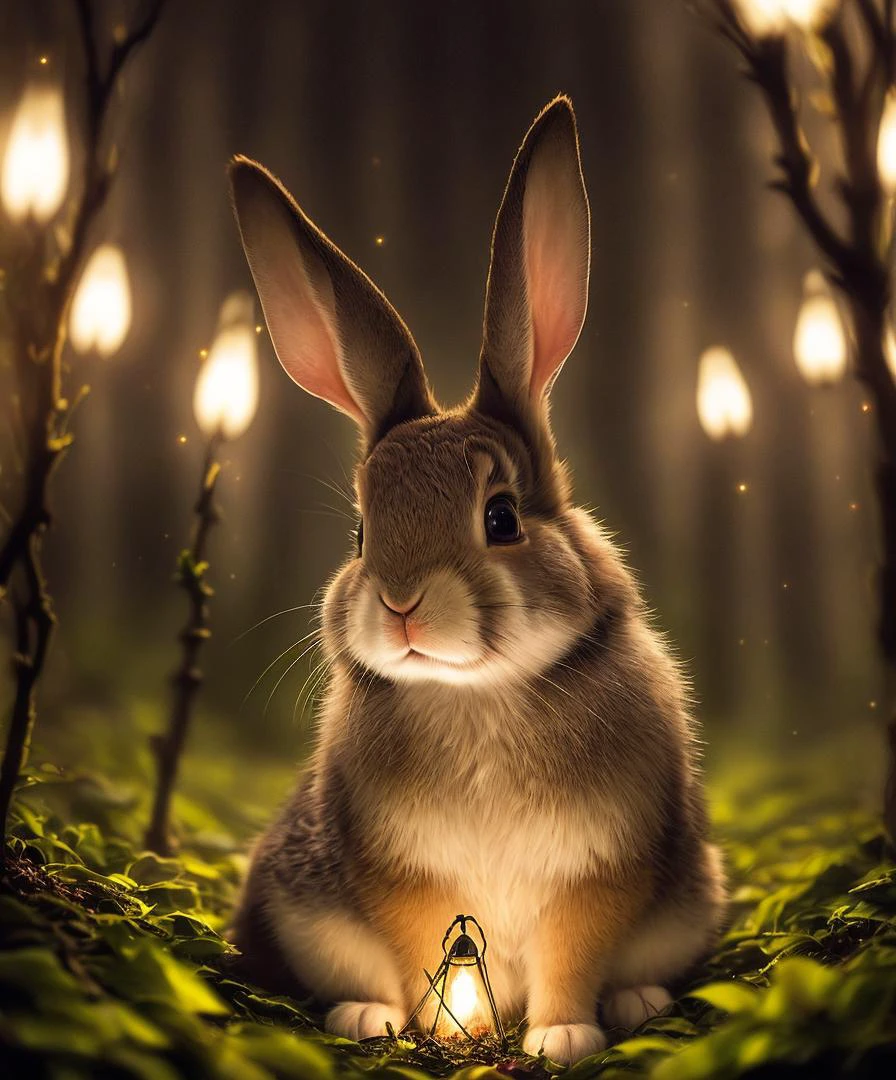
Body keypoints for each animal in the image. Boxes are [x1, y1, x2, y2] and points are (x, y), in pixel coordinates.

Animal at [227, 96, 727, 1067]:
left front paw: (560, 1036)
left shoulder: (598, 873)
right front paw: (440, 1031)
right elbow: (423, 944)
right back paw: (365, 1016)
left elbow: (573, 950)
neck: (477, 693)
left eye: (500, 518)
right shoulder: (401, 877)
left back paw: (637, 1000)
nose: (400, 605)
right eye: (361, 533)